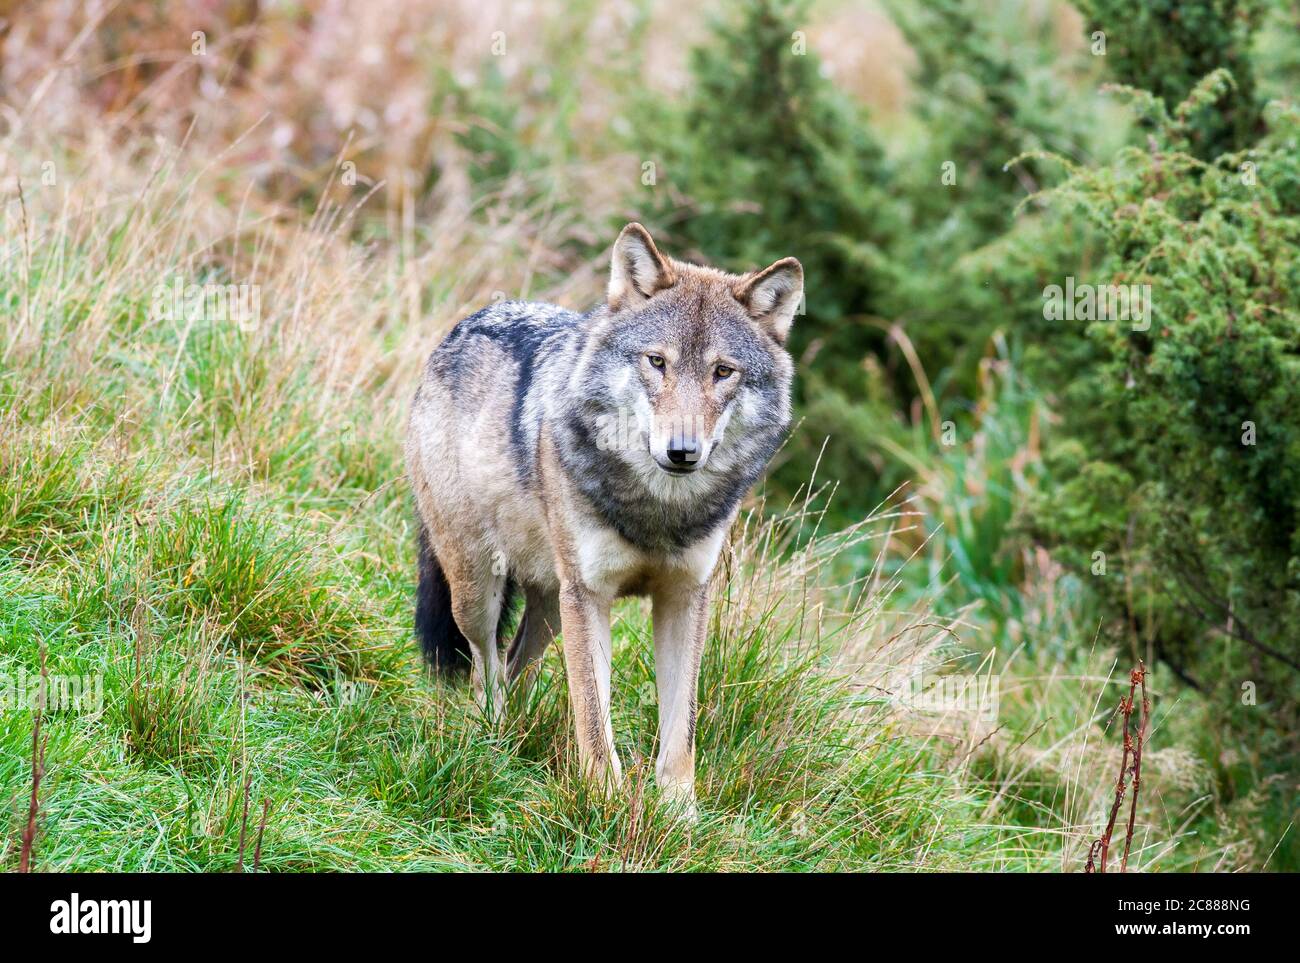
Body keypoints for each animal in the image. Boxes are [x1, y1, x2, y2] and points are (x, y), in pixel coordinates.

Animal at [406, 223, 802, 811]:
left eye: (722, 372)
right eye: (657, 362)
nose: (682, 451)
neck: (658, 511)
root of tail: (467, 323)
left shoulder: (685, 596)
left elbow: (679, 726)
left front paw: (680, 811)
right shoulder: (591, 595)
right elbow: (594, 716)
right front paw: (605, 802)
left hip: (552, 605)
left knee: (517, 665)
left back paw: (519, 738)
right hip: (481, 589)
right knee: (486, 666)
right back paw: (492, 740)